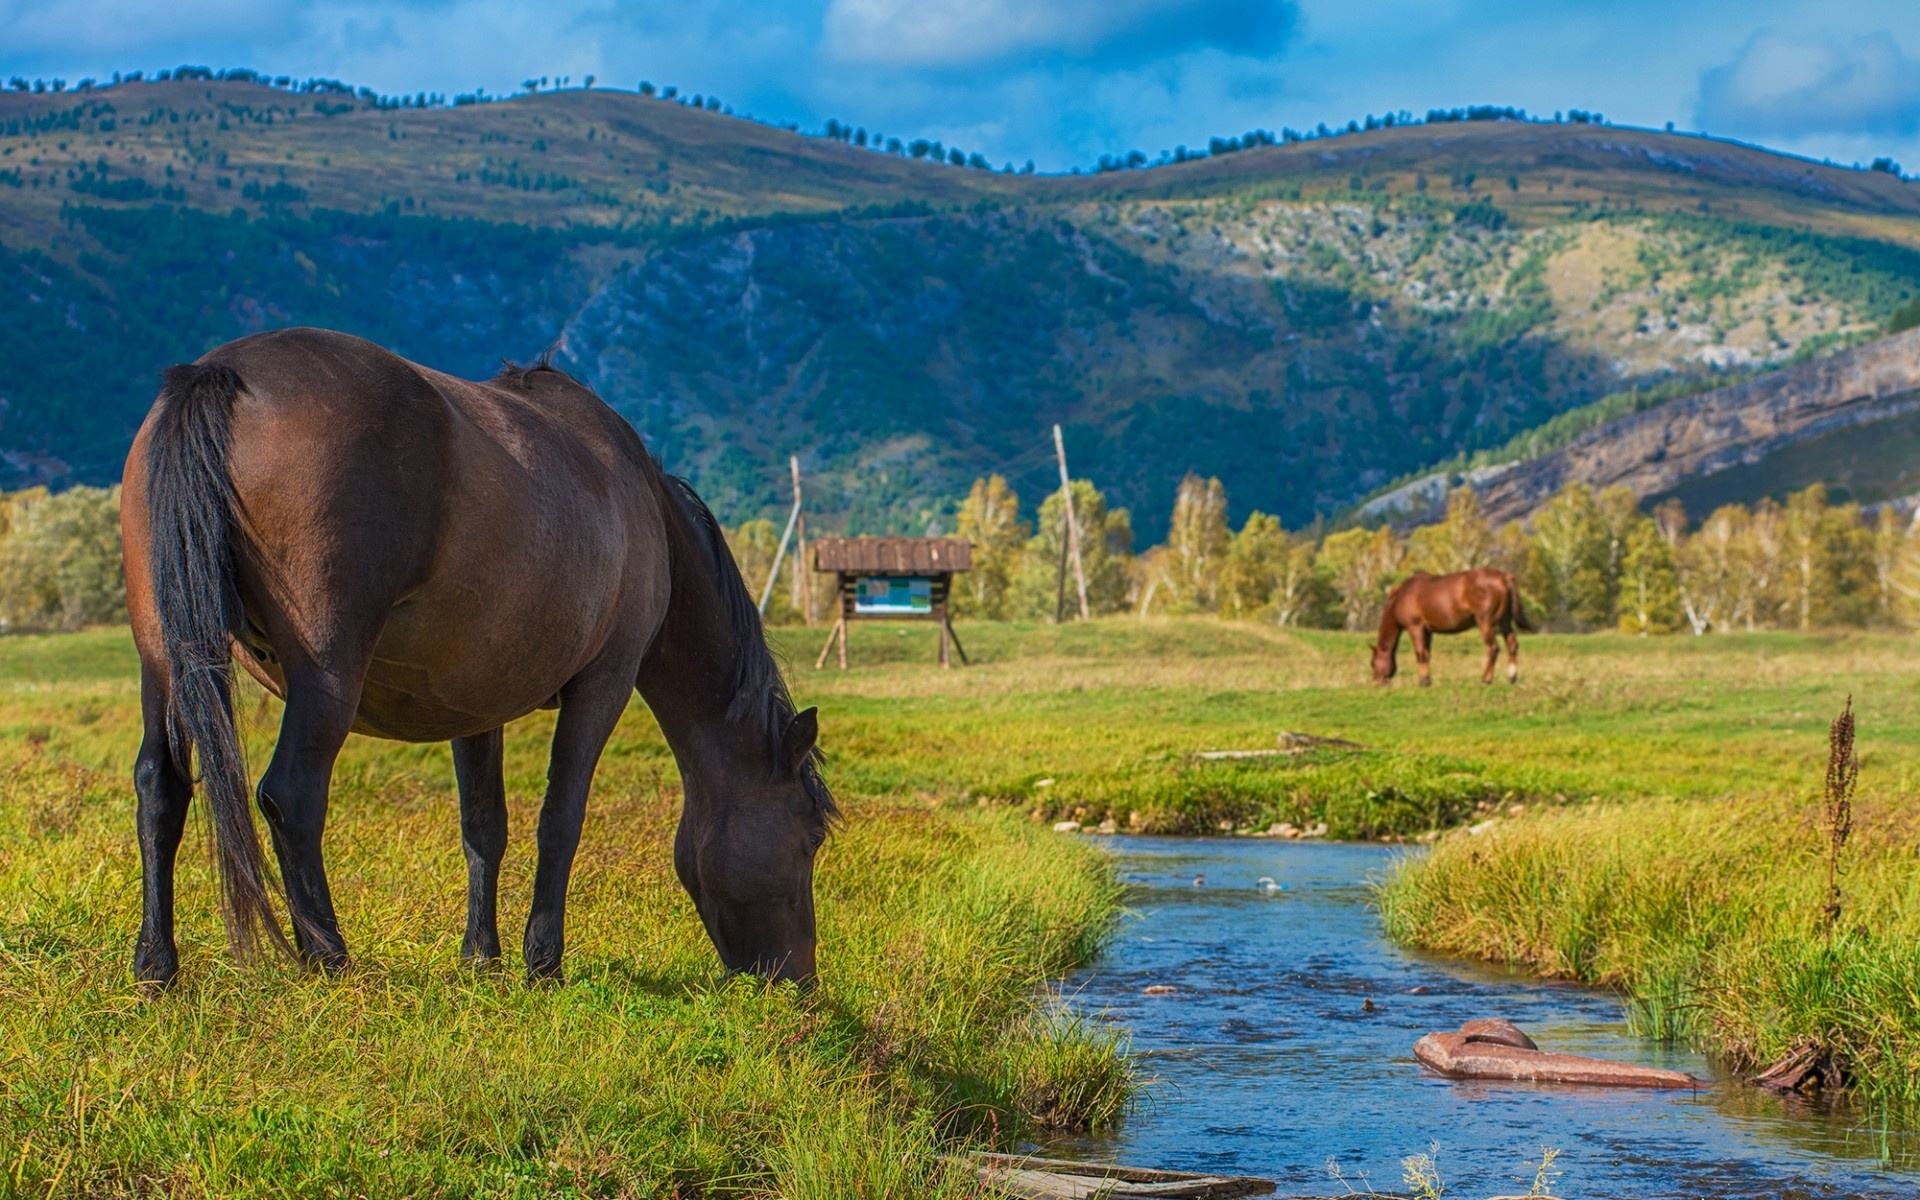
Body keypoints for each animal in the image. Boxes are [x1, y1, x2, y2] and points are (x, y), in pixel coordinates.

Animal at [121, 326, 834, 988]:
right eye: (811, 835)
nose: (797, 978)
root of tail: (221, 372)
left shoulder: (471, 704)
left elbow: (485, 826)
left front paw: (480, 958)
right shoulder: (604, 684)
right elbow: (561, 818)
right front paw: (542, 961)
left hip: (166, 658)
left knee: (161, 785)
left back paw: (157, 965)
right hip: (326, 674)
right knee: (291, 795)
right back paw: (329, 958)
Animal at [1371, 567, 1533, 686]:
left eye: (1372, 663)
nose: (1376, 681)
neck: (1402, 595)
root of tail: (1504, 577)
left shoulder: (1415, 627)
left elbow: (1420, 653)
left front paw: (1423, 682)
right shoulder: (1427, 631)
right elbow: (1427, 654)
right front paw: (1427, 679)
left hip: (1485, 622)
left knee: (1492, 648)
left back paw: (1485, 679)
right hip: (1505, 622)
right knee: (1512, 644)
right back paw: (1511, 677)